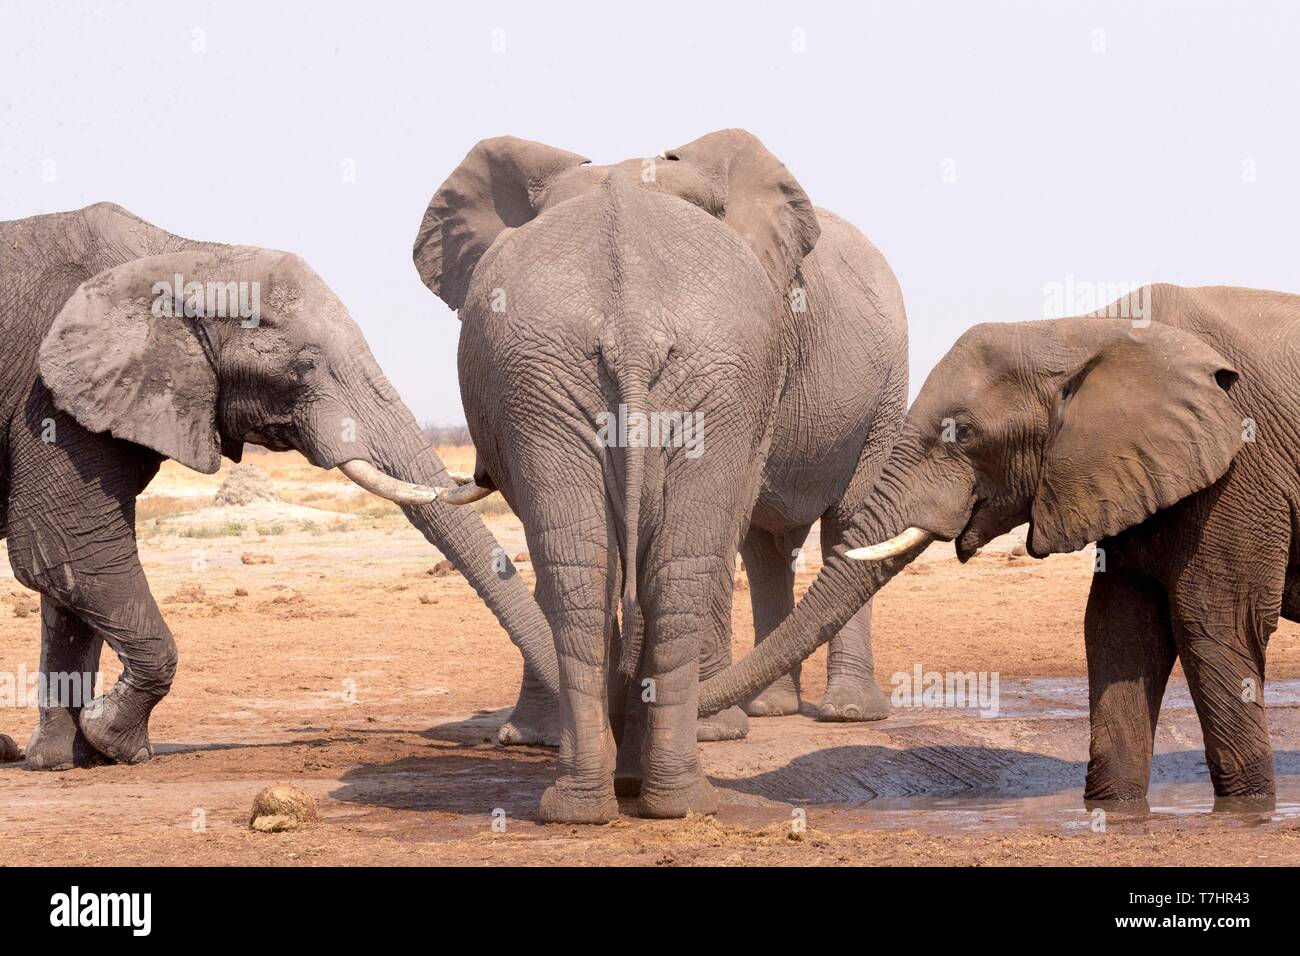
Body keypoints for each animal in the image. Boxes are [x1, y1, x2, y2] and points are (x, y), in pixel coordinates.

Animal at [0, 202, 560, 770]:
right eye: (304, 366)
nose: (530, 744)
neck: (187, 255)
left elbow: (68, 572)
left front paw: (66, 758)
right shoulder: (49, 402)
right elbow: (69, 549)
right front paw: (114, 740)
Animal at [412, 128, 907, 821]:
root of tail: (631, 320)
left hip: (848, 384)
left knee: (817, 527)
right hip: (552, 376)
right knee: (654, 557)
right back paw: (641, 787)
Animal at [700, 283, 1299, 802]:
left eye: (962, 434)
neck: (1084, 331)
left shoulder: (1241, 469)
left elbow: (1213, 625)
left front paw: (1247, 807)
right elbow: (1118, 628)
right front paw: (1113, 809)